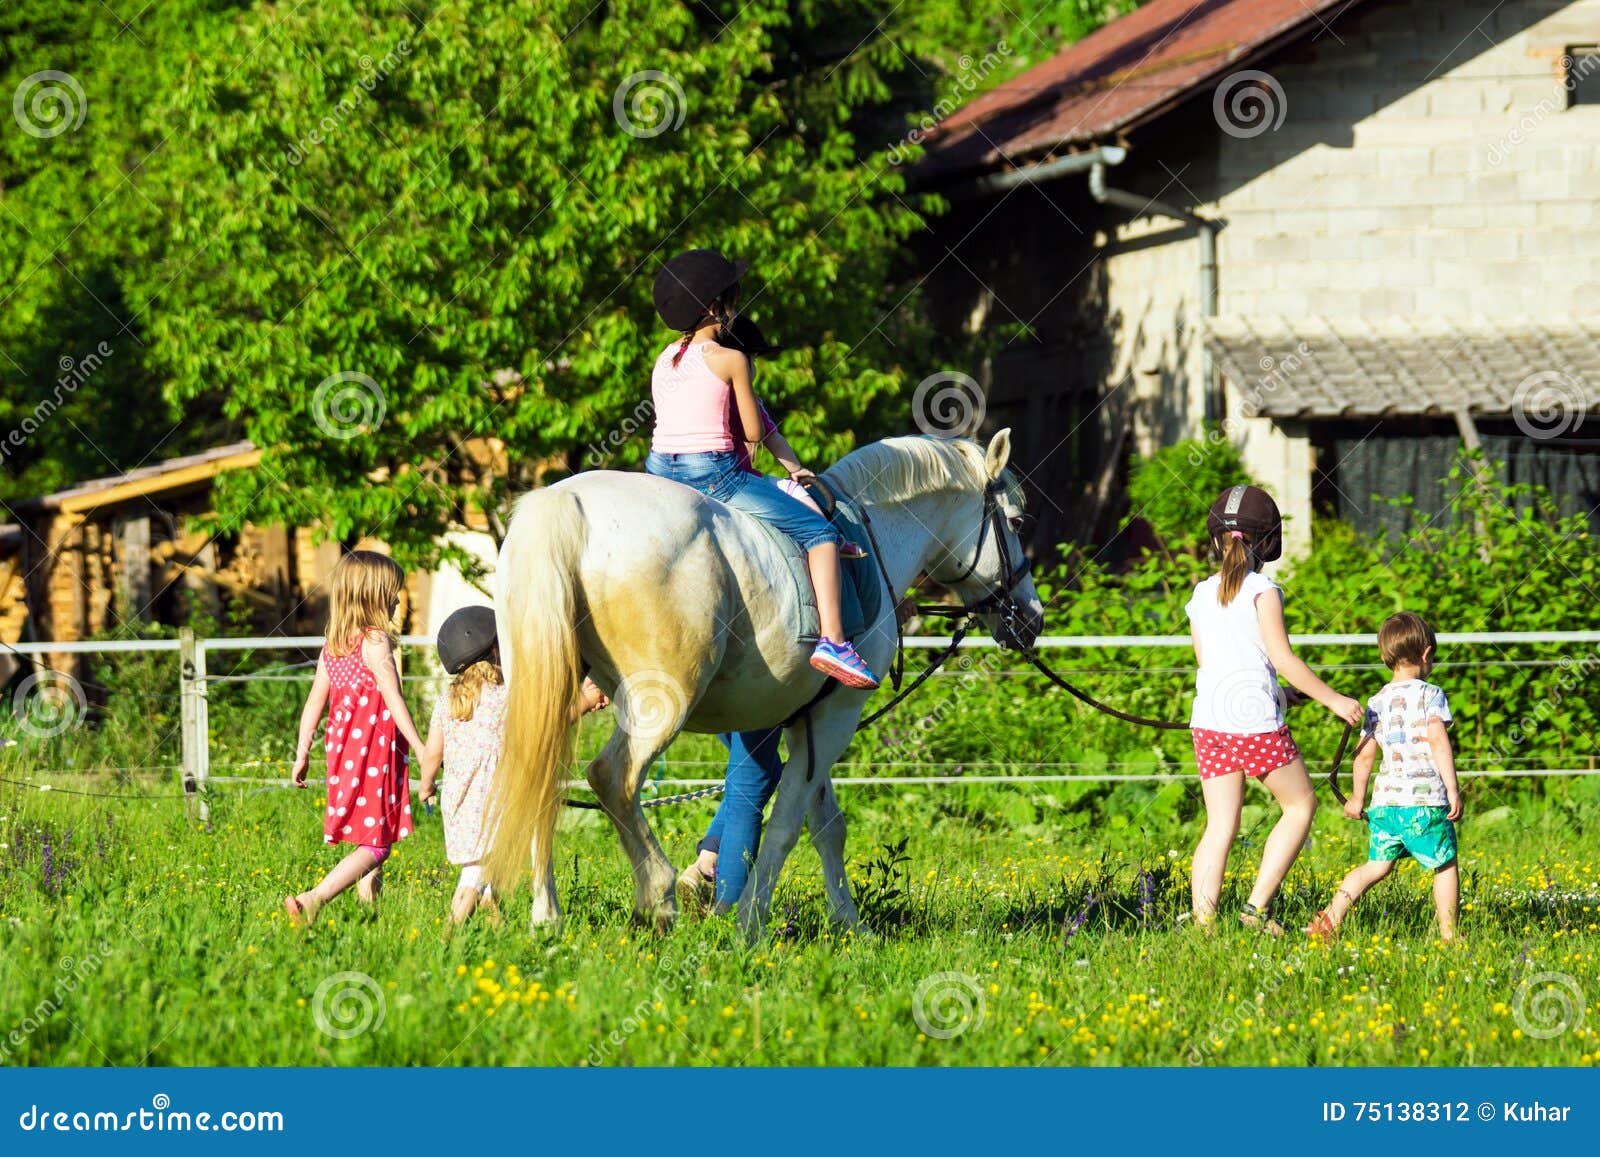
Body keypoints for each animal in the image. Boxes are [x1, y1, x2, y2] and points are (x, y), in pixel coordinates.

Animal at [485, 430, 1044, 936]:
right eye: (1016, 522)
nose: (1032, 618)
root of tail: (569, 504)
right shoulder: (836, 717)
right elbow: (786, 824)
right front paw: (752, 921)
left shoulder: (806, 722)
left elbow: (827, 825)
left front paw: (849, 923)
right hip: (661, 702)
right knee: (612, 777)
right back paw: (657, 898)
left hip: (551, 692)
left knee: (540, 776)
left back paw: (547, 915)